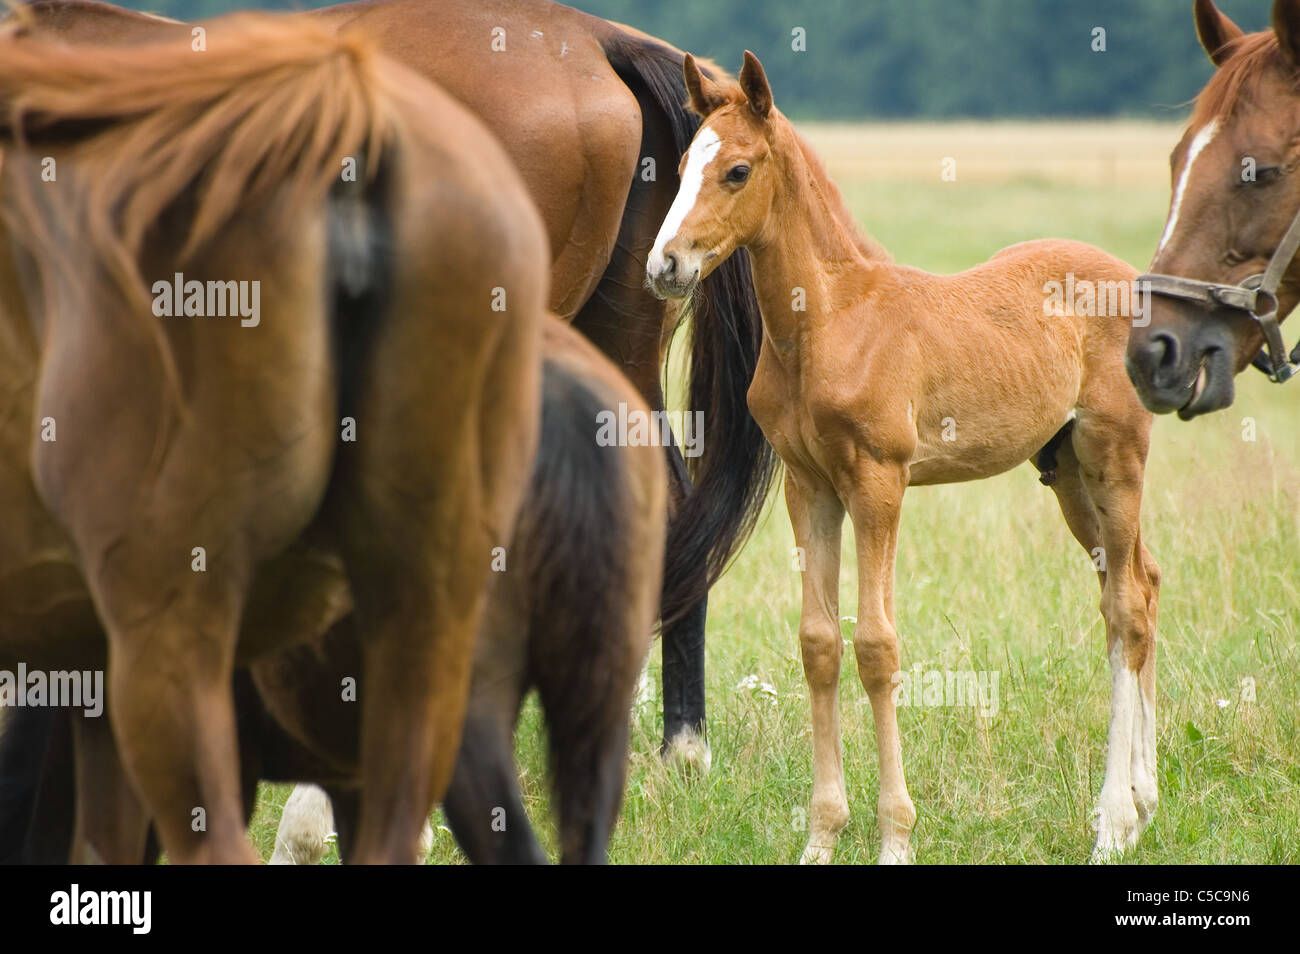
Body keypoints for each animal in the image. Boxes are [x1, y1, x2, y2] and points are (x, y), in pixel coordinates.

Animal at [646, 52, 1162, 864]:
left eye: (736, 170)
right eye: (679, 168)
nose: (665, 265)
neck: (829, 321)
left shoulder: (878, 483)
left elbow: (877, 647)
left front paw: (895, 838)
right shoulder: (809, 486)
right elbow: (820, 644)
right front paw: (821, 837)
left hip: (1115, 456)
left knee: (1128, 609)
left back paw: (1112, 822)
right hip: (1067, 474)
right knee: (1139, 584)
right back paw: (1142, 804)